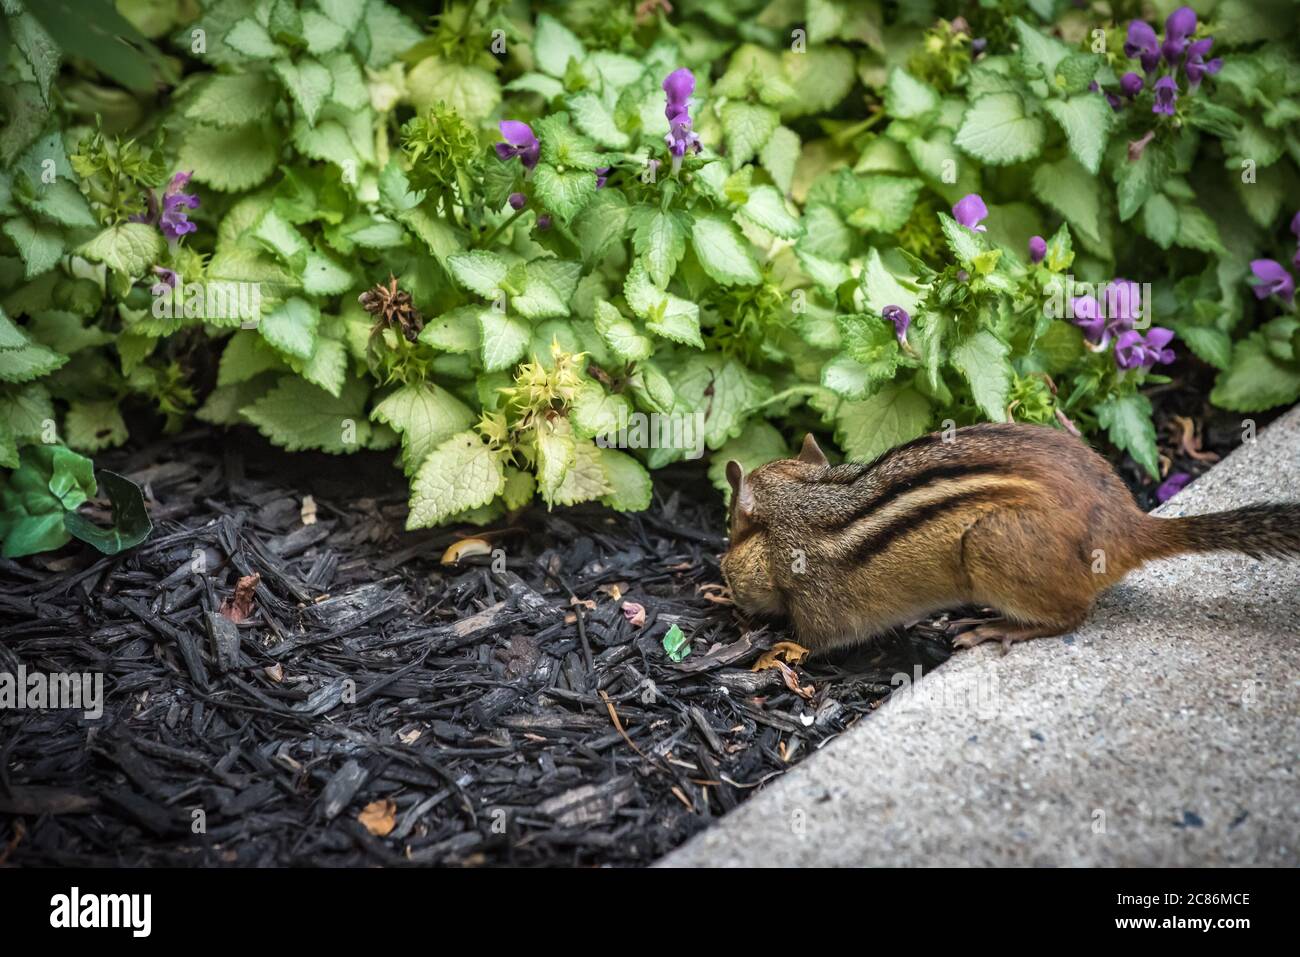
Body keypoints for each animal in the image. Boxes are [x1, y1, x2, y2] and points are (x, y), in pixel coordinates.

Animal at [721, 423, 1300, 652]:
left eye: (730, 526)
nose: (723, 578)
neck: (803, 502)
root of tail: (1130, 526)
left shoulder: (820, 606)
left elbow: (811, 642)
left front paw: (777, 647)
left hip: (990, 545)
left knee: (1072, 616)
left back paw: (996, 628)